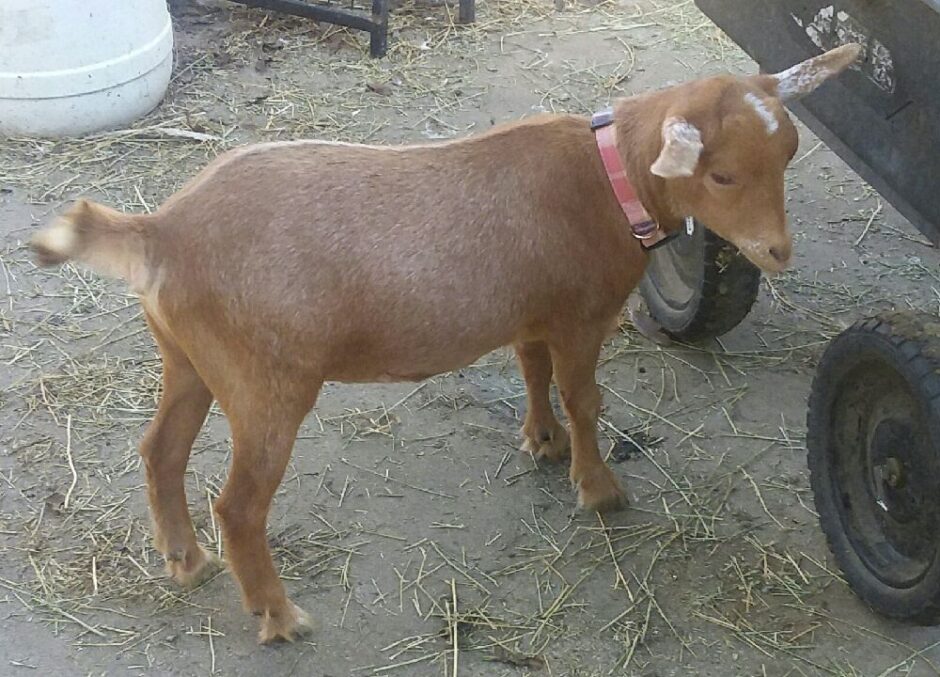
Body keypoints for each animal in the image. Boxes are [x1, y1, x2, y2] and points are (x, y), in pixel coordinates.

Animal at [31, 44, 861, 643]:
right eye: (721, 174)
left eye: (788, 153)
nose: (778, 251)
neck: (607, 179)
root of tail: (160, 231)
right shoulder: (581, 314)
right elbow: (584, 396)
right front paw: (598, 488)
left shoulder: (533, 311)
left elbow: (532, 372)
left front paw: (542, 442)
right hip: (266, 382)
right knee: (236, 504)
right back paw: (278, 616)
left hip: (190, 358)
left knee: (160, 452)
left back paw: (185, 559)